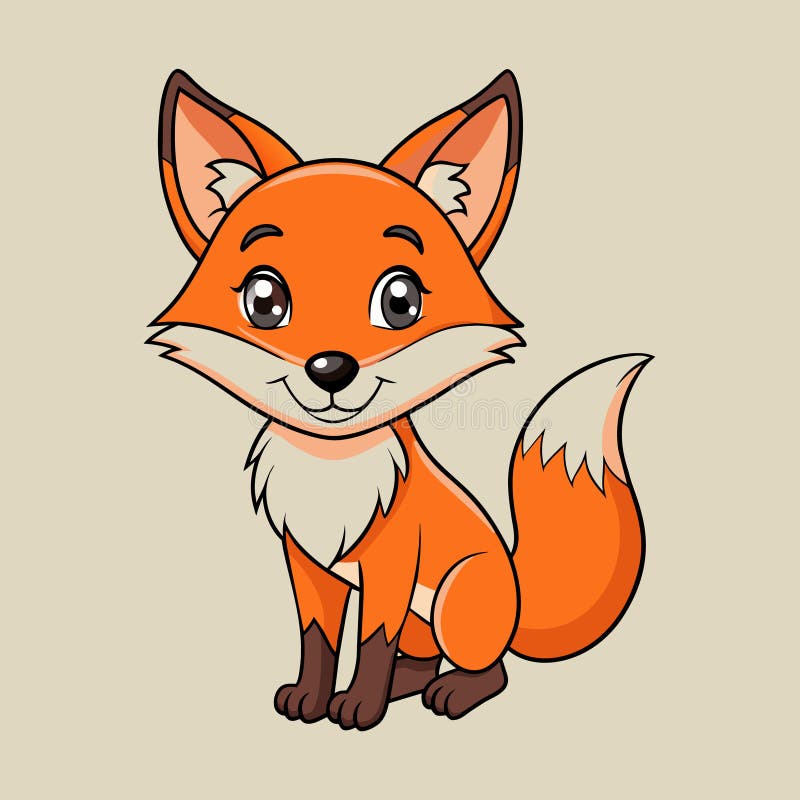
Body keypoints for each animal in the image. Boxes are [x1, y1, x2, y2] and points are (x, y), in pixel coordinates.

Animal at [148, 69, 650, 730]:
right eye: (265, 300)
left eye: (400, 301)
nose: (330, 369)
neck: (330, 468)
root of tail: (517, 594)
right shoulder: (308, 564)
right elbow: (318, 640)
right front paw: (311, 699)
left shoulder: (390, 565)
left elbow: (370, 643)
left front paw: (359, 707)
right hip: (425, 623)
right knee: (420, 658)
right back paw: (410, 685)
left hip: (455, 602)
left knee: (491, 669)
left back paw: (452, 693)